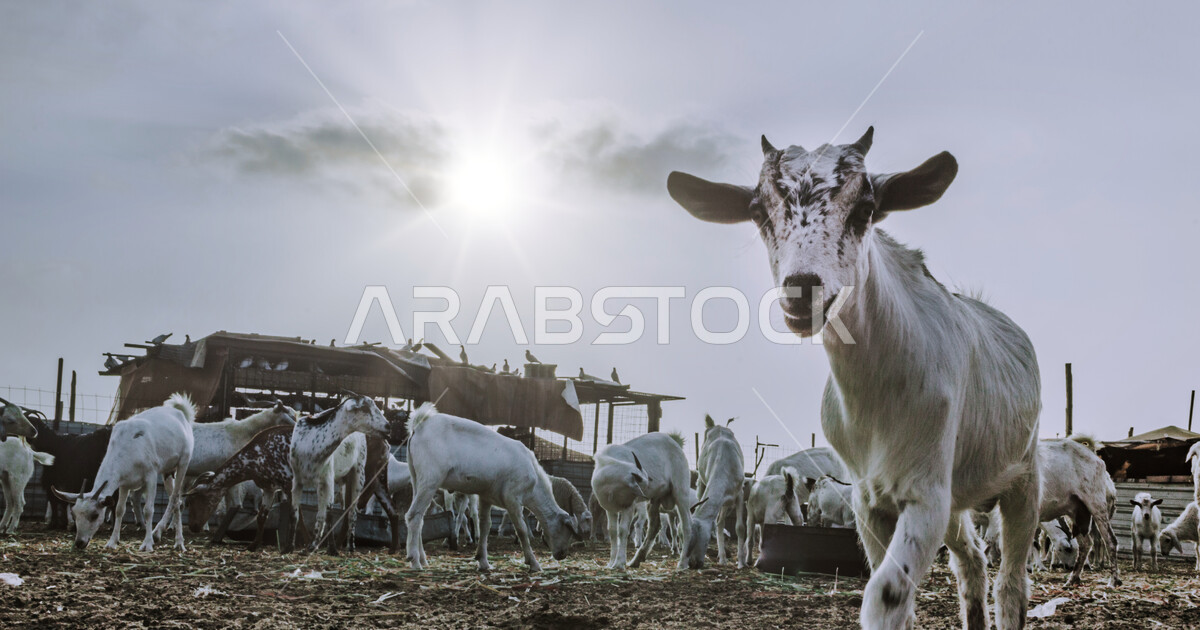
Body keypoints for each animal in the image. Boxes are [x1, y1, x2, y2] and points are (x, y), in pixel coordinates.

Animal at [53, 393, 195, 552]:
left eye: (95, 515)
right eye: (74, 513)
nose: (79, 542)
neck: (128, 447)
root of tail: (181, 414)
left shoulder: (151, 475)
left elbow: (148, 510)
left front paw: (147, 544)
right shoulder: (124, 483)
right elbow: (119, 509)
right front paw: (112, 542)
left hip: (183, 463)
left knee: (176, 498)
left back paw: (178, 543)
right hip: (168, 471)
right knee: (175, 499)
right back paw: (160, 534)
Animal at [288, 395, 388, 553]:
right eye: (365, 408)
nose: (388, 426)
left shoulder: (328, 478)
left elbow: (329, 514)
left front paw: (332, 549)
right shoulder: (297, 480)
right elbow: (295, 513)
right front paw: (289, 548)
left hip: (359, 471)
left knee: (352, 512)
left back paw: (350, 546)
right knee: (331, 510)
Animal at [405, 402, 579, 572]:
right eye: (568, 530)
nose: (562, 554)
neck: (534, 484)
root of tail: (418, 426)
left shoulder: (486, 496)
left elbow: (485, 526)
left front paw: (483, 561)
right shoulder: (512, 498)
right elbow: (521, 529)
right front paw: (533, 563)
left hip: (417, 479)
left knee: (421, 519)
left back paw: (423, 559)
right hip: (430, 480)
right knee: (414, 516)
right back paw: (415, 561)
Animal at [592, 431, 694, 570]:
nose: (645, 494)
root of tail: (675, 443)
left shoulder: (628, 507)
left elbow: (622, 530)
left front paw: (619, 563)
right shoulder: (610, 508)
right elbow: (612, 531)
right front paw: (610, 563)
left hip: (681, 492)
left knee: (686, 525)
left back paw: (682, 563)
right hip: (655, 500)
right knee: (654, 526)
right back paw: (636, 560)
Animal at [686, 416, 747, 569]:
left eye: (696, 538)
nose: (693, 563)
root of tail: (715, 425)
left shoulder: (739, 494)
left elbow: (740, 527)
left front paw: (741, 563)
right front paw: (723, 558)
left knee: (720, 521)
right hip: (702, 483)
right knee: (719, 522)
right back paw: (722, 558)